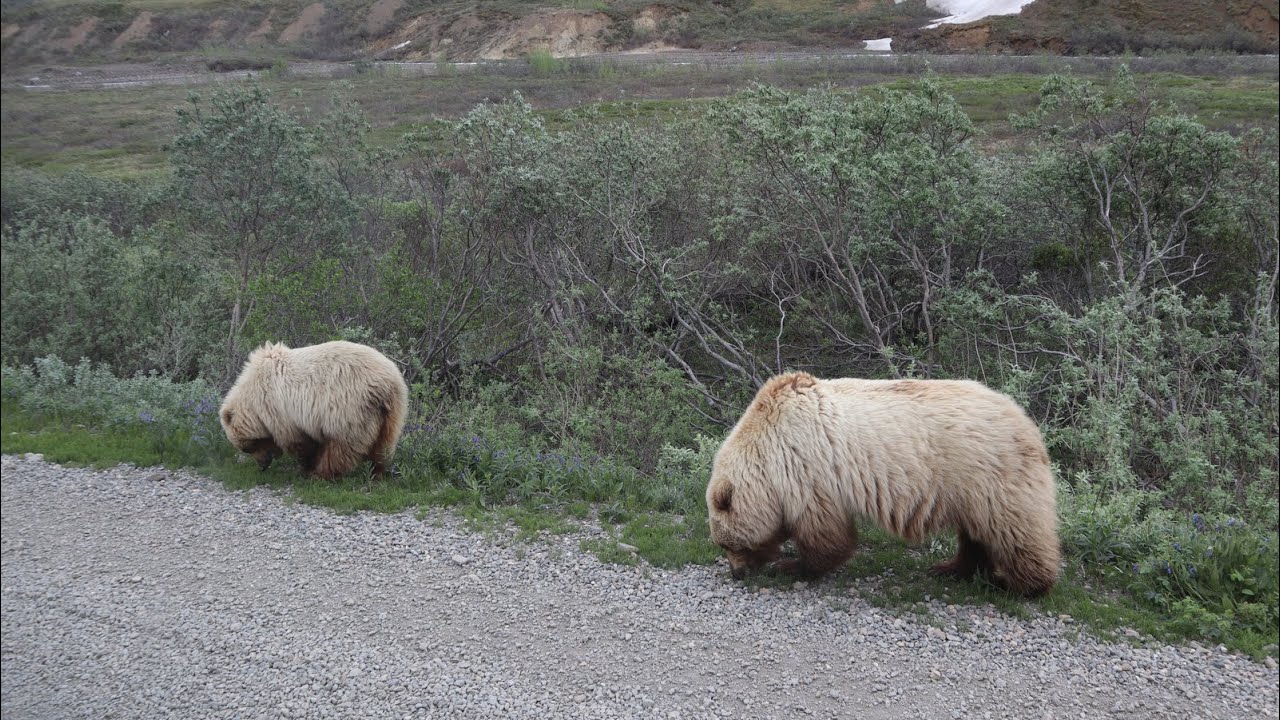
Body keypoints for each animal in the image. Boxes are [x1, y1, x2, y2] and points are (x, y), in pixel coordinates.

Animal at [219, 341, 409, 480]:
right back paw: (378, 472)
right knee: (384, 443)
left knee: (341, 445)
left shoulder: (278, 408)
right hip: (393, 410)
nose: (262, 465)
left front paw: (306, 467)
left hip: (348, 407)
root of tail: (386, 383)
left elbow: (298, 442)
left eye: (248, 447)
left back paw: (321, 474)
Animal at [706, 372, 1060, 597]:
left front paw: (790, 566)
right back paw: (951, 568)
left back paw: (1022, 586)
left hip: (989, 473)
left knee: (1014, 531)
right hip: (971, 487)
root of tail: (1026, 421)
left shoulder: (806, 468)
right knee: (976, 533)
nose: (736, 573)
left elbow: (825, 533)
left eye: (728, 544)